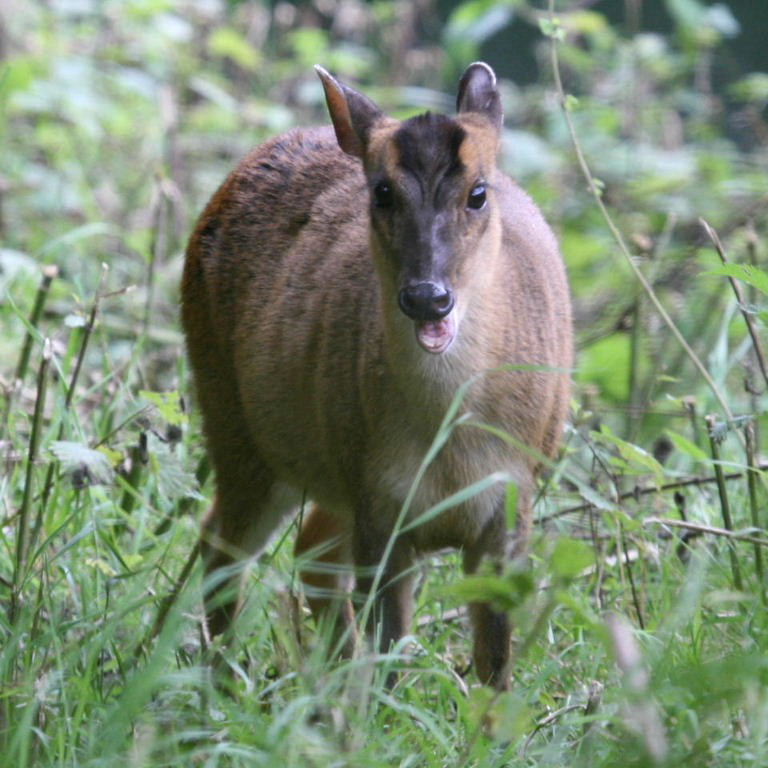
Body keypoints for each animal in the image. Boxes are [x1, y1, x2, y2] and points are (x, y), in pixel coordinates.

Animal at [181, 62, 572, 690]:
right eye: (382, 191)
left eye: (478, 193)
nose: (428, 297)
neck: (448, 442)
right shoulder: (378, 502)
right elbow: (392, 643)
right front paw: (384, 709)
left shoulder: (512, 498)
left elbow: (495, 656)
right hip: (237, 421)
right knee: (224, 546)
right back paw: (223, 682)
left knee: (310, 550)